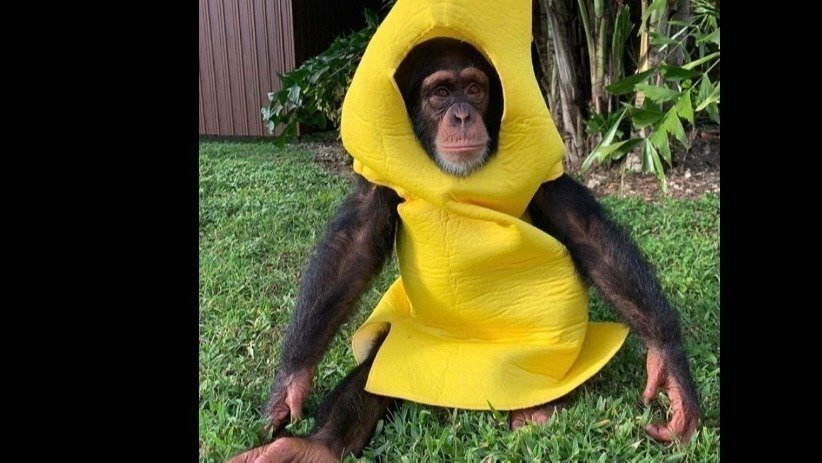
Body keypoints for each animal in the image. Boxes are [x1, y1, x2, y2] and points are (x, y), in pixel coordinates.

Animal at [228, 38, 700, 463]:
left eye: (474, 88)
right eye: (440, 93)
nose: (461, 113)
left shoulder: (543, 172)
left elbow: (589, 235)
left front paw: (669, 369)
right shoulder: (378, 177)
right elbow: (355, 243)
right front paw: (289, 386)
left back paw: (536, 410)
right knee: (377, 363)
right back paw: (314, 446)